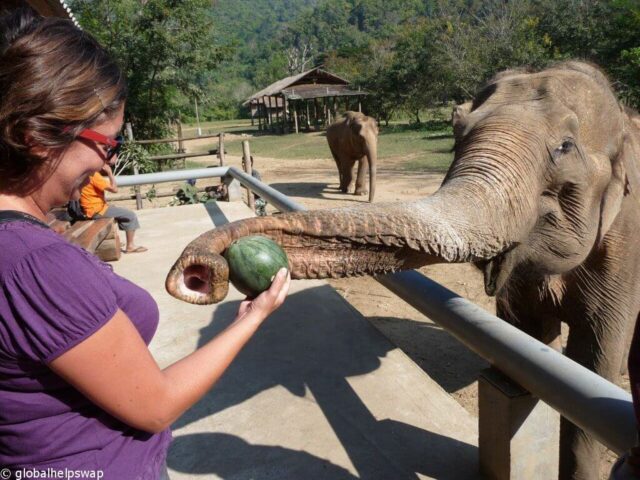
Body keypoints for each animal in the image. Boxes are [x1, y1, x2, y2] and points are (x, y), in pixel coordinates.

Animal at [166, 61, 640, 480]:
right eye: (457, 134)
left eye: (565, 147)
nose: (199, 272)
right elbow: (527, 342)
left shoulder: (625, 247)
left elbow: (594, 365)